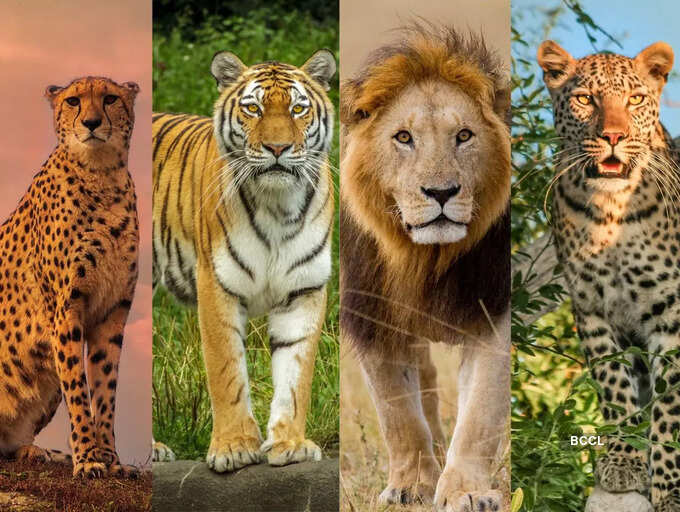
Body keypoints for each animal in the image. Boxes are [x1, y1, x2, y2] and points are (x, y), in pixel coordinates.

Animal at [0, 76, 140, 478]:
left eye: (110, 99)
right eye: (74, 101)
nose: (92, 123)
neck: (101, 175)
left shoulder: (113, 311)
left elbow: (105, 389)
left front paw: (110, 459)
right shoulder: (65, 309)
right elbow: (78, 386)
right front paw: (89, 458)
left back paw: (33, 451)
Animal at [151, 49, 336, 472]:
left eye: (298, 108)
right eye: (253, 108)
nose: (277, 148)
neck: (278, 207)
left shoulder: (304, 290)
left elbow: (296, 375)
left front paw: (290, 444)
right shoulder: (217, 285)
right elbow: (226, 372)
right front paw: (234, 447)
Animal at [340, 24, 511, 511]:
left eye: (464, 136)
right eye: (403, 138)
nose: (441, 192)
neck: (425, 258)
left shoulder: (495, 311)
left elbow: (479, 416)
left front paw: (466, 491)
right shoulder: (372, 316)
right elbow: (397, 410)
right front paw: (411, 485)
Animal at [538, 40, 680, 510]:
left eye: (635, 99)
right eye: (586, 99)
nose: (613, 137)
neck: (612, 211)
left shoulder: (671, 313)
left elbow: (670, 405)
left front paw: (670, 488)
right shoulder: (593, 307)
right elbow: (615, 387)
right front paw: (621, 462)